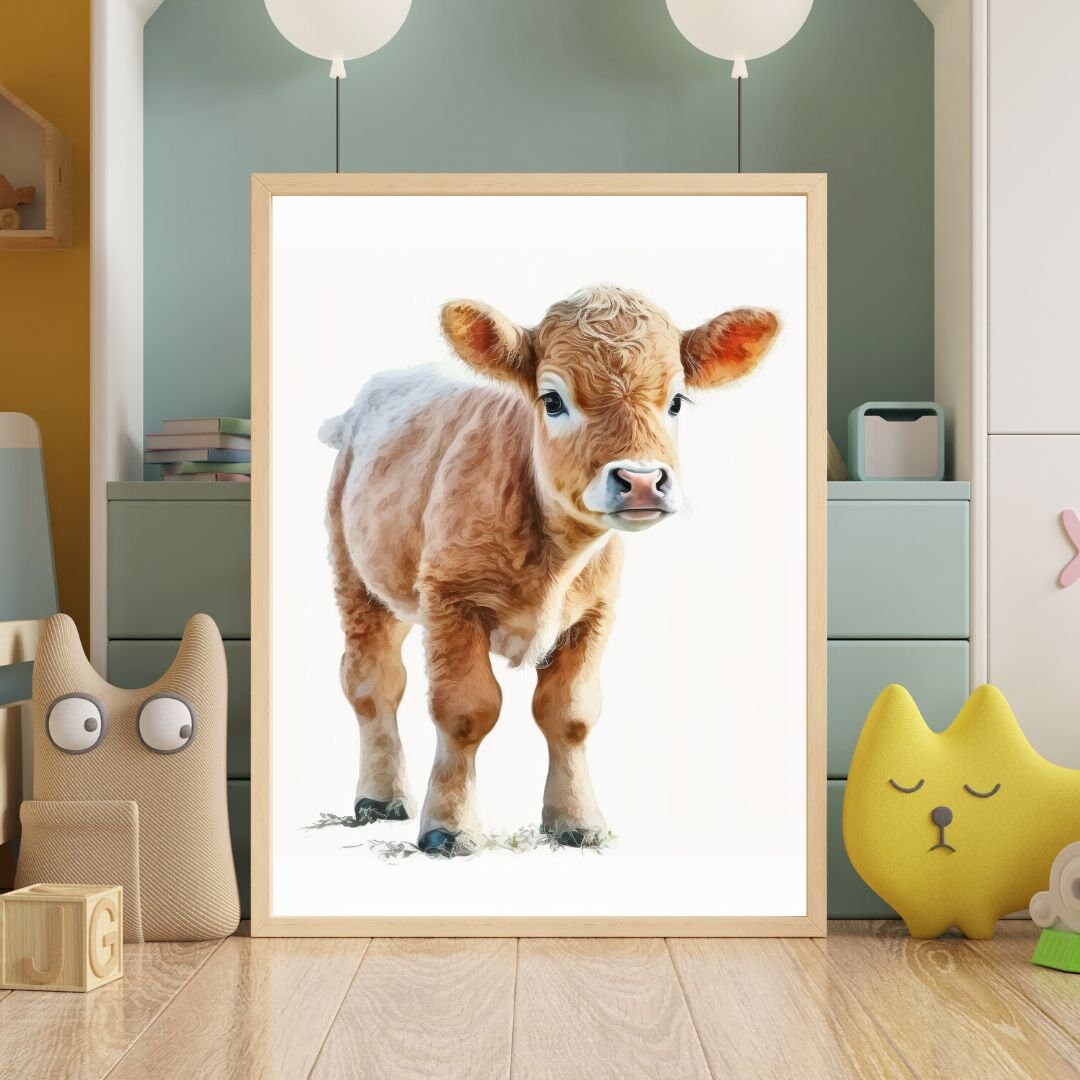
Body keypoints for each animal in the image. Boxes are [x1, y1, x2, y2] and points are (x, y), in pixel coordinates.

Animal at [319, 286, 779, 855]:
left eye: (676, 401)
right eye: (553, 400)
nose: (641, 480)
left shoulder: (594, 614)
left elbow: (570, 714)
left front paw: (576, 820)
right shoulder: (451, 602)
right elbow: (464, 711)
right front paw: (449, 826)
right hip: (356, 582)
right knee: (373, 682)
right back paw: (379, 797)